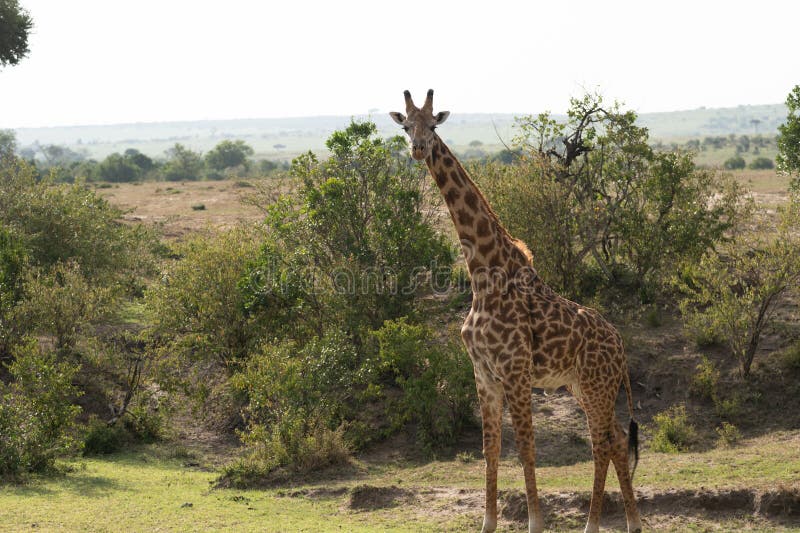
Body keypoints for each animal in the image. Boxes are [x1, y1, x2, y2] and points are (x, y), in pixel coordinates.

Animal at [390, 90, 642, 533]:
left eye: (433, 125)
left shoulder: (516, 370)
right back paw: (631, 523)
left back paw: (594, 525)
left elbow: (526, 448)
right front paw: (488, 523)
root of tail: (621, 346)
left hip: (596, 385)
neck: (483, 275)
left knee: (602, 442)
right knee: (614, 438)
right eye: (405, 126)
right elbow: (490, 449)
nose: (419, 149)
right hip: (585, 386)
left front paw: (535, 523)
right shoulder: (484, 374)